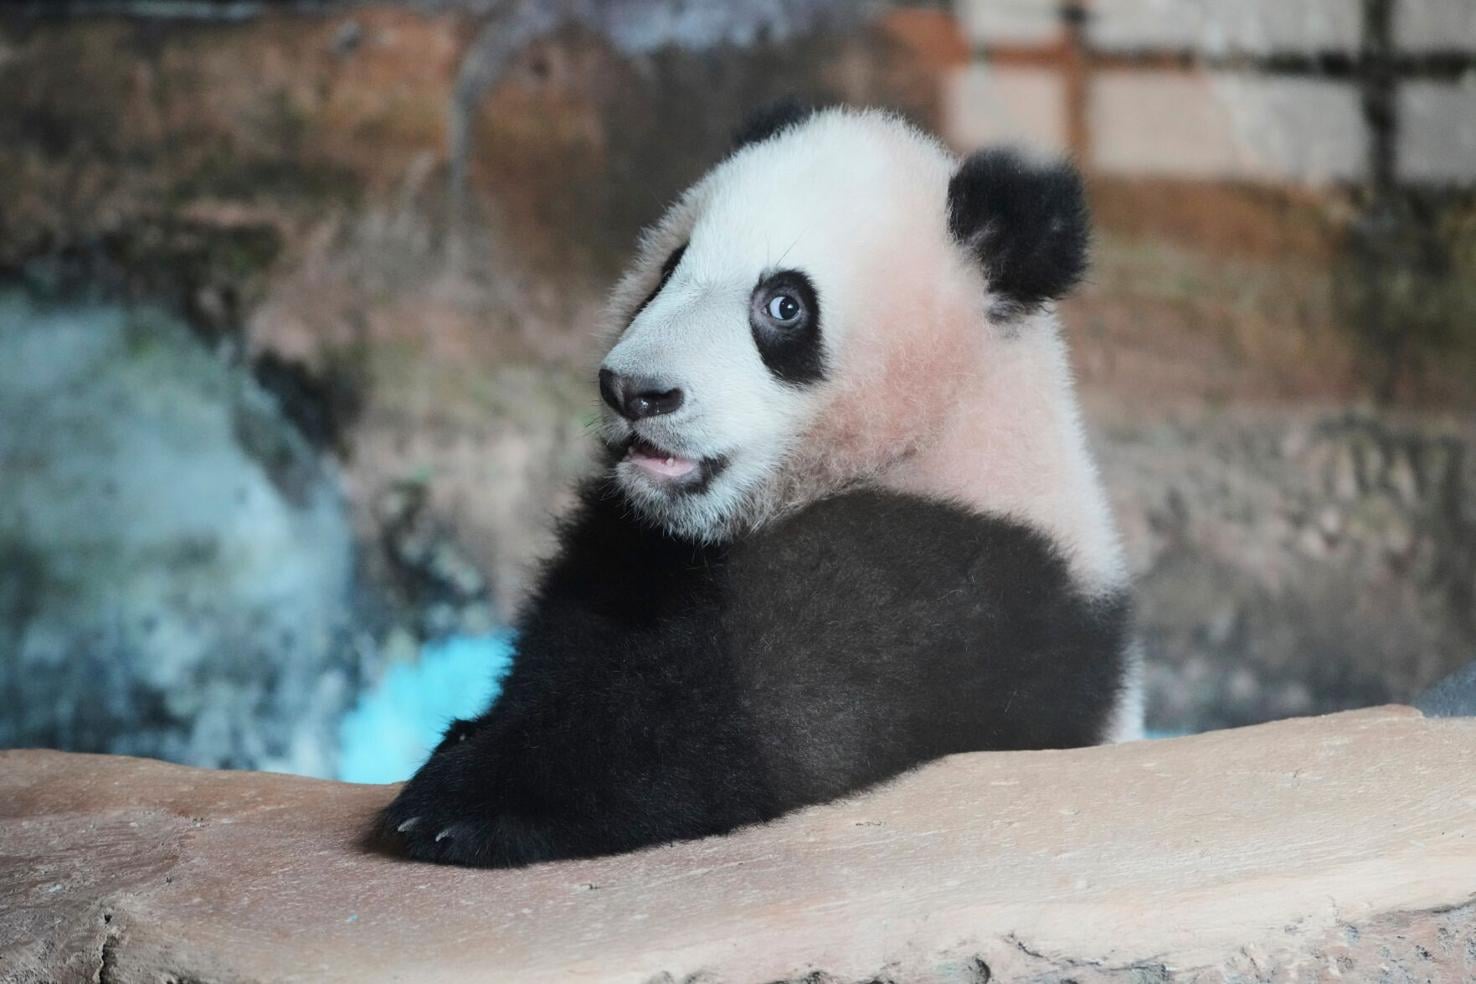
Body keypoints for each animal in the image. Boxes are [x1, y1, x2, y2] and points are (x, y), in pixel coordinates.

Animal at [376, 104, 1141, 868]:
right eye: (670, 267)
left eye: (784, 306)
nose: (635, 392)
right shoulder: (639, 539)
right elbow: (580, 623)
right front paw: (470, 738)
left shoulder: (969, 570)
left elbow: (778, 711)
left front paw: (466, 800)